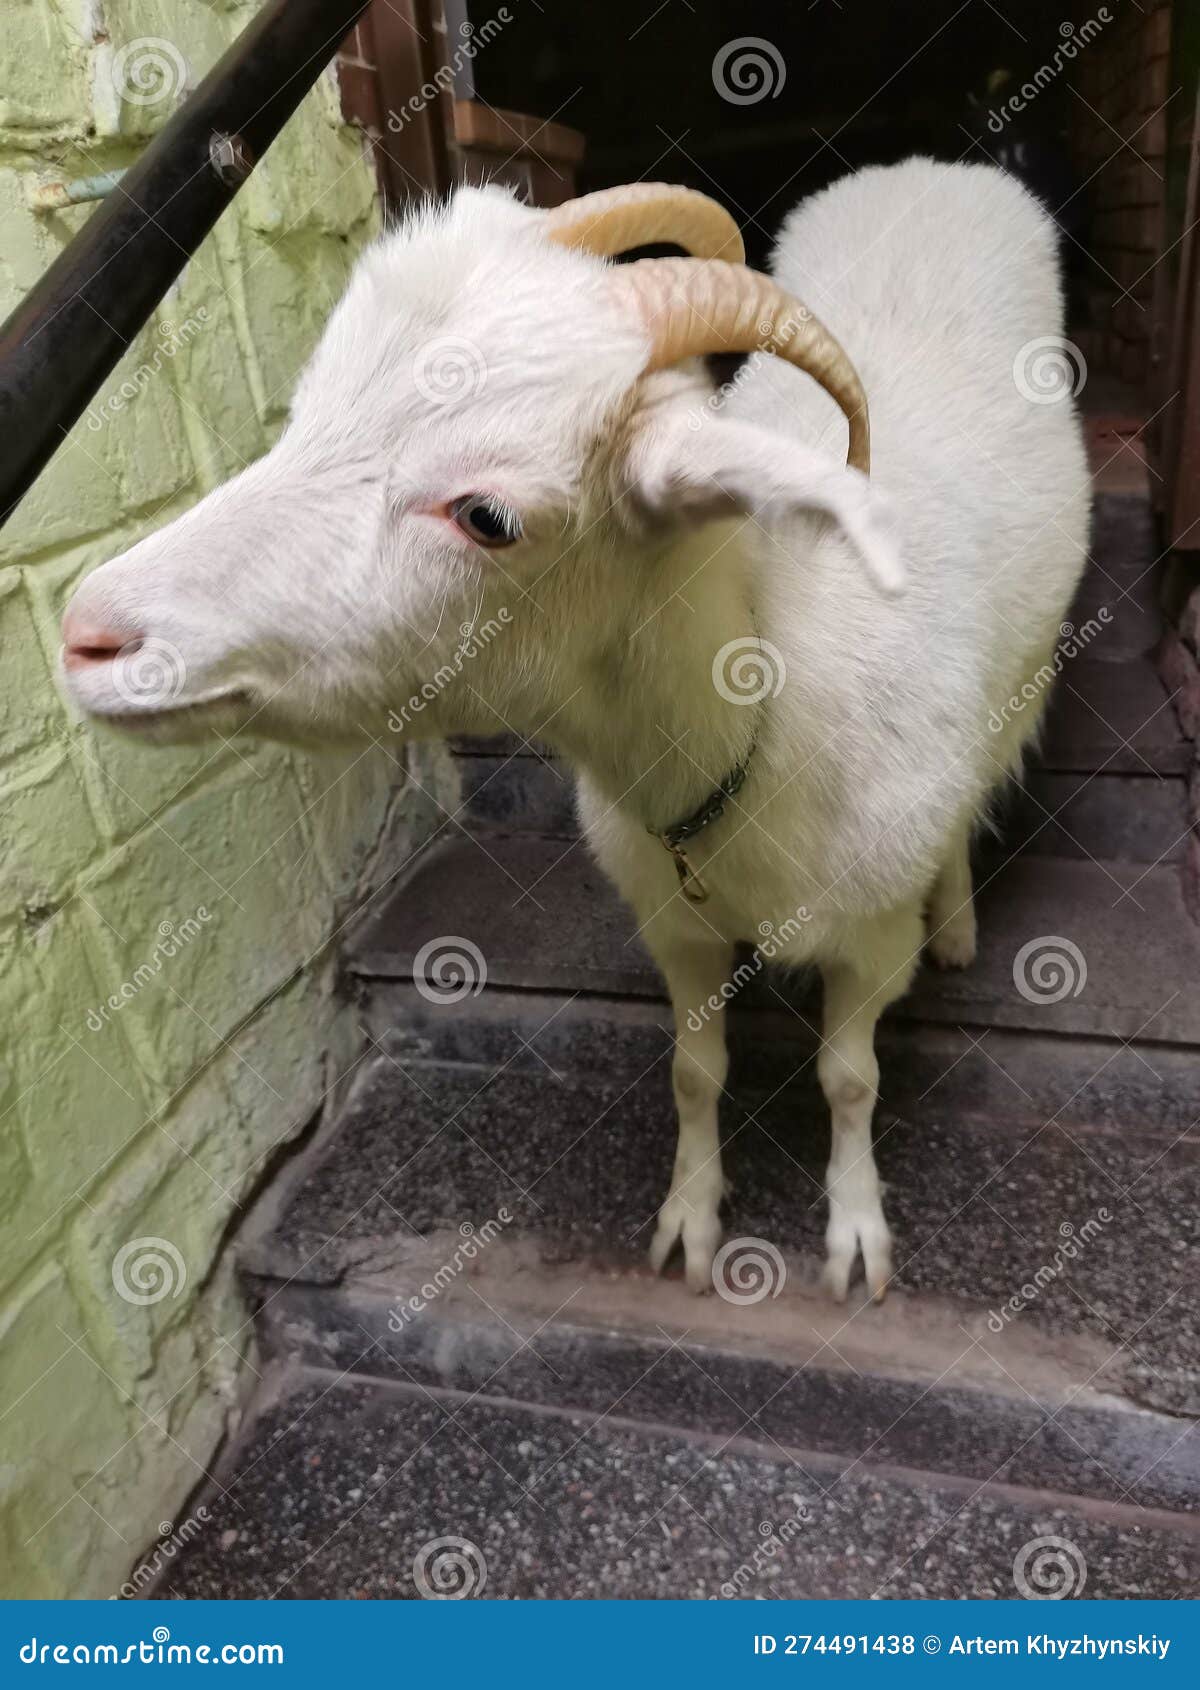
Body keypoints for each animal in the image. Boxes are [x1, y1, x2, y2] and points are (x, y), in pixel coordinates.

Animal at [61, 159, 1091, 1300]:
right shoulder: (674, 923)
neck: (758, 706)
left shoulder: (867, 941)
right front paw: (690, 1220)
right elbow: (696, 1070)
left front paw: (856, 1231)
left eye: (487, 517)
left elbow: (849, 1077)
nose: (87, 635)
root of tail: (933, 169)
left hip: (1024, 677)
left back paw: (953, 920)